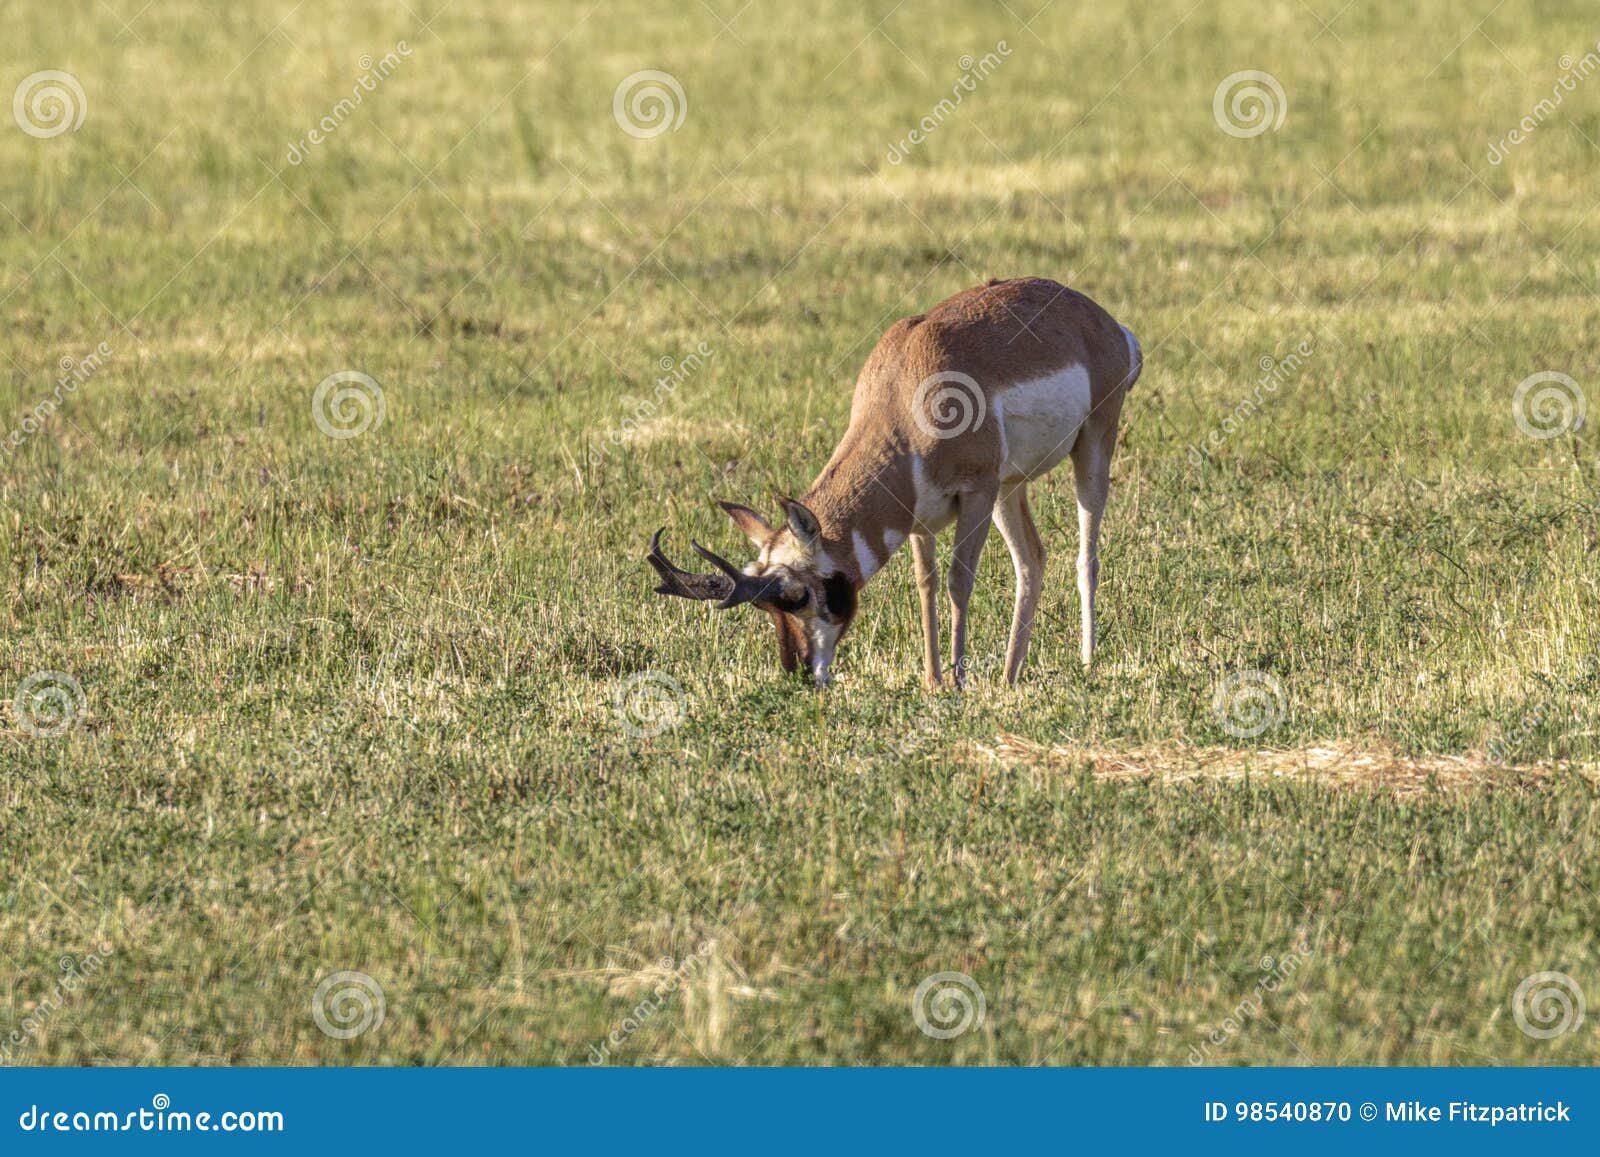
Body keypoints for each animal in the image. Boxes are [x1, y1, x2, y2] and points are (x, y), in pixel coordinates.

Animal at [647, 277, 1140, 688]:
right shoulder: (920, 518)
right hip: (1009, 488)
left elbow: (959, 580)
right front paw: (933, 680)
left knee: (1086, 556)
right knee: (1032, 561)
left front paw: (959, 682)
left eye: (798, 595)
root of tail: (1100, 319)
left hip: (1089, 452)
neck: (904, 391)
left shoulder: (975, 493)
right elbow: (926, 585)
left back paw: (1086, 662)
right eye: (764, 607)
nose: (800, 674)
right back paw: (1008, 676)